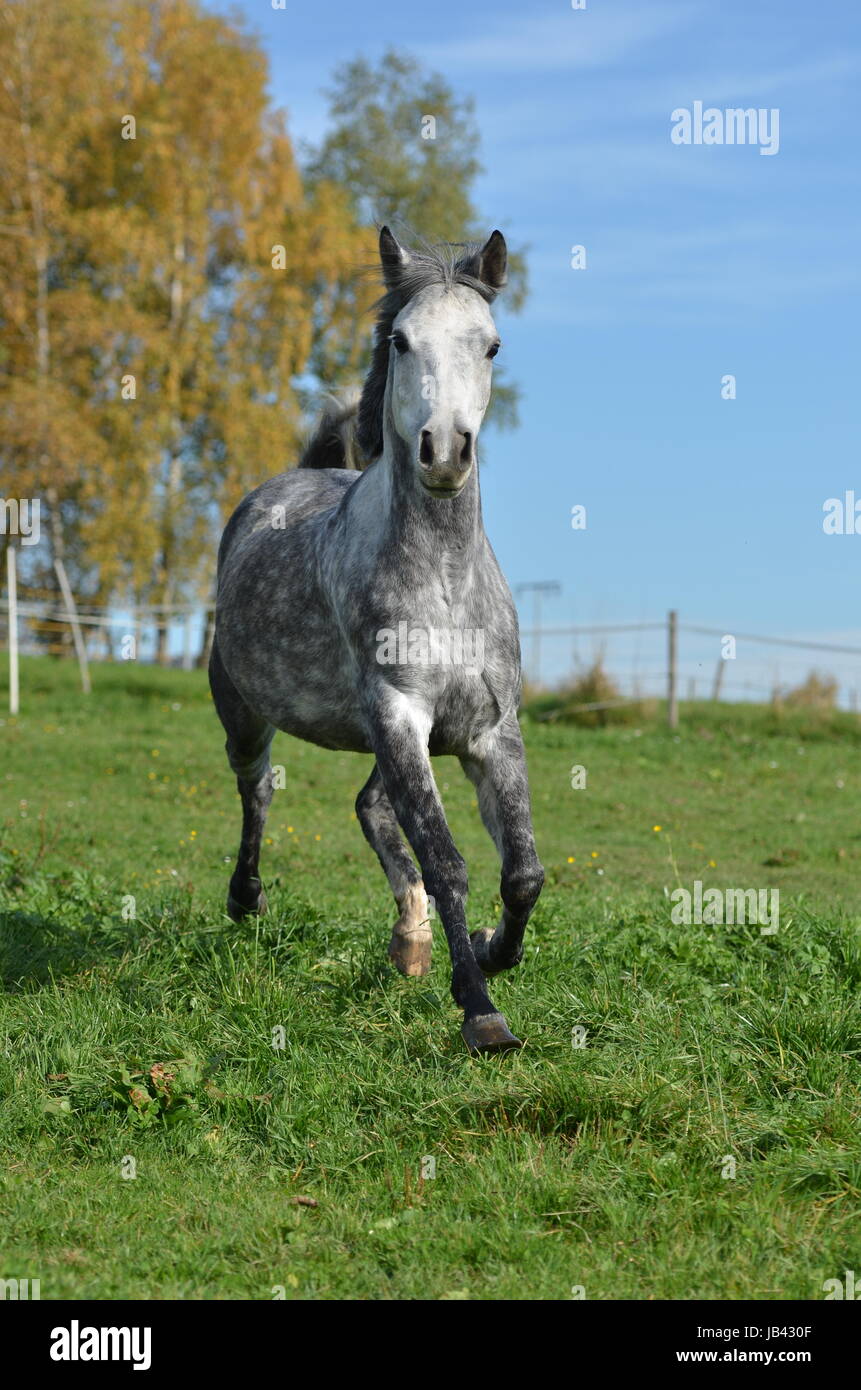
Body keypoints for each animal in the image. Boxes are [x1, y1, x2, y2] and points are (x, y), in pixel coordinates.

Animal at [209, 226, 544, 1054]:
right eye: (401, 341)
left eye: (490, 345)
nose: (444, 452)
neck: (445, 580)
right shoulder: (397, 715)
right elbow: (448, 860)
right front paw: (480, 1008)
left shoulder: (490, 733)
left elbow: (522, 872)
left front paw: (489, 948)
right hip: (244, 711)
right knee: (256, 791)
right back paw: (246, 899)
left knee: (369, 809)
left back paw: (409, 939)